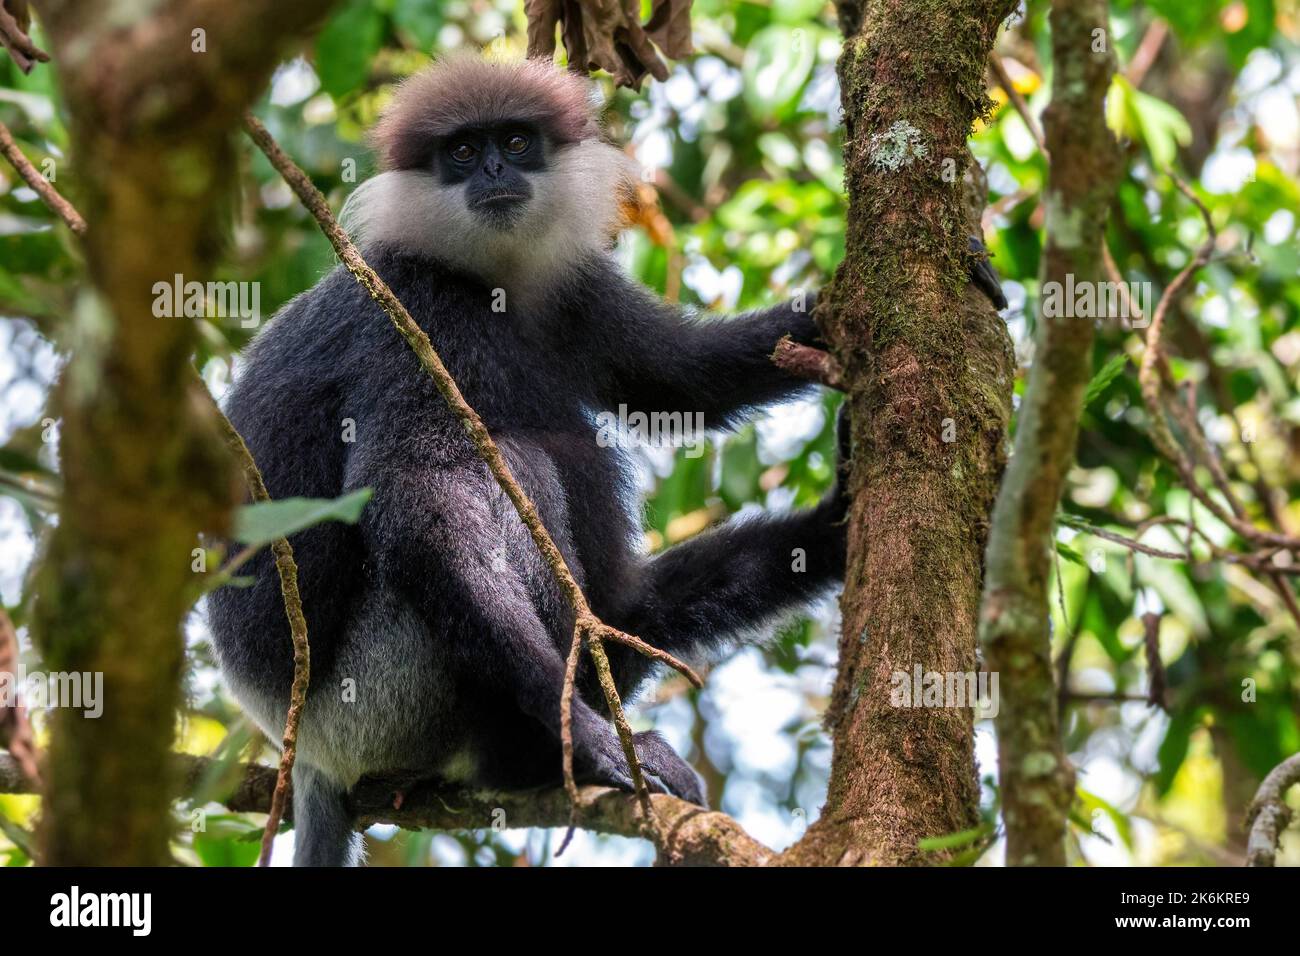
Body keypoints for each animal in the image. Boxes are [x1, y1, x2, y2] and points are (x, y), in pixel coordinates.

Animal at [207, 55, 1005, 866]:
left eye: (515, 140)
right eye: (461, 151)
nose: (492, 169)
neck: (491, 284)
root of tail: (306, 753)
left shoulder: (575, 290)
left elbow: (683, 377)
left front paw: (851, 313)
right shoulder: (406, 311)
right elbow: (414, 502)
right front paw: (590, 743)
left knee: (626, 601)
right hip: (378, 701)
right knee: (511, 472)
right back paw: (536, 754)